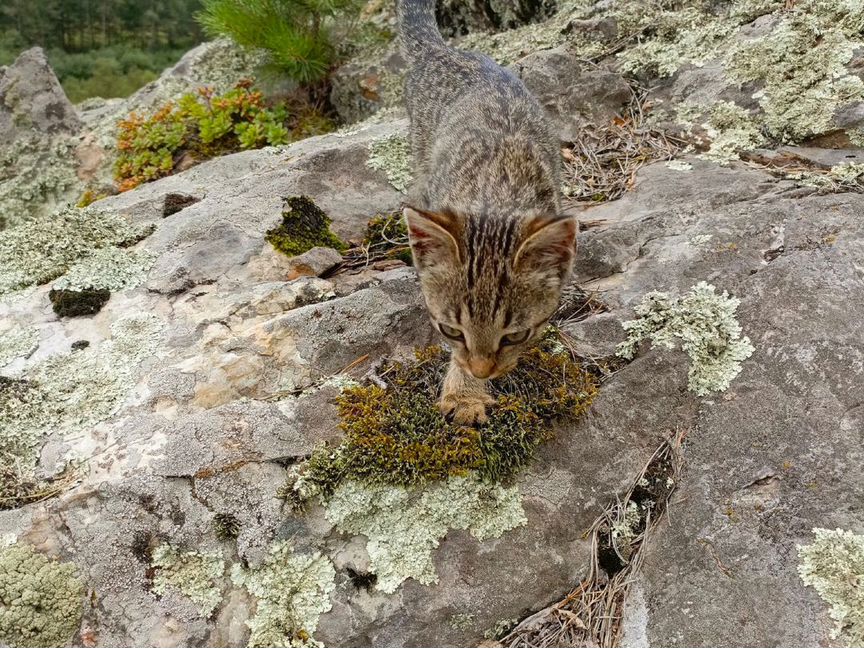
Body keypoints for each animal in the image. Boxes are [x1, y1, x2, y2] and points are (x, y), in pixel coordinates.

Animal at [400, 0, 576, 426]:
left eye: (515, 335)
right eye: (451, 331)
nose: (483, 371)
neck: (497, 189)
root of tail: (442, 50)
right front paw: (465, 393)